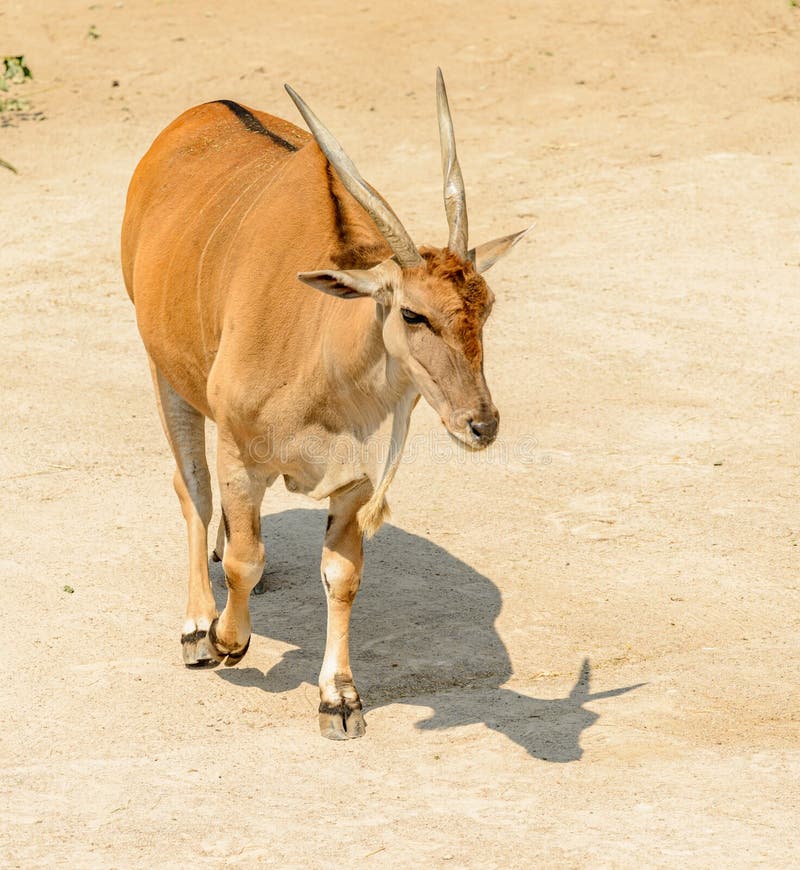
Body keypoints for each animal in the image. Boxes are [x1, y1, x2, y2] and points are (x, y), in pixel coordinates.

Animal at [121, 70, 530, 739]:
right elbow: (244, 559)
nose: (482, 424)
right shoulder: (240, 453)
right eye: (412, 313)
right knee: (194, 492)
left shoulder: (357, 481)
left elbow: (340, 577)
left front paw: (338, 698)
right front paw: (227, 639)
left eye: (487, 305)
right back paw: (197, 625)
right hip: (166, 374)